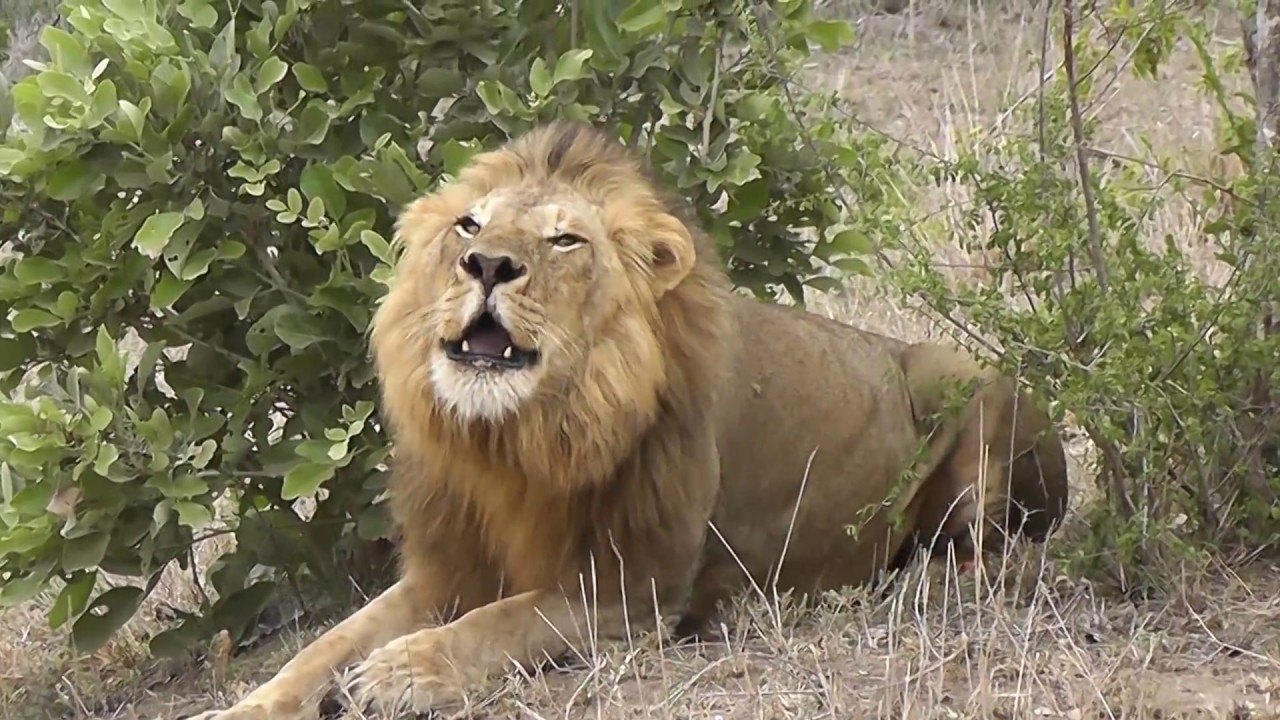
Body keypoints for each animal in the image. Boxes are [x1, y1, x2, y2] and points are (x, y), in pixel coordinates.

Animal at [189, 121, 1068, 720]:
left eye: (563, 239)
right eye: (469, 226)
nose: (487, 265)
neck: (517, 440)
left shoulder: (635, 591)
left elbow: (503, 622)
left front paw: (399, 674)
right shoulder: (446, 568)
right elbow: (324, 645)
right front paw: (242, 705)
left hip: (960, 374)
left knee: (993, 554)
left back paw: (919, 577)